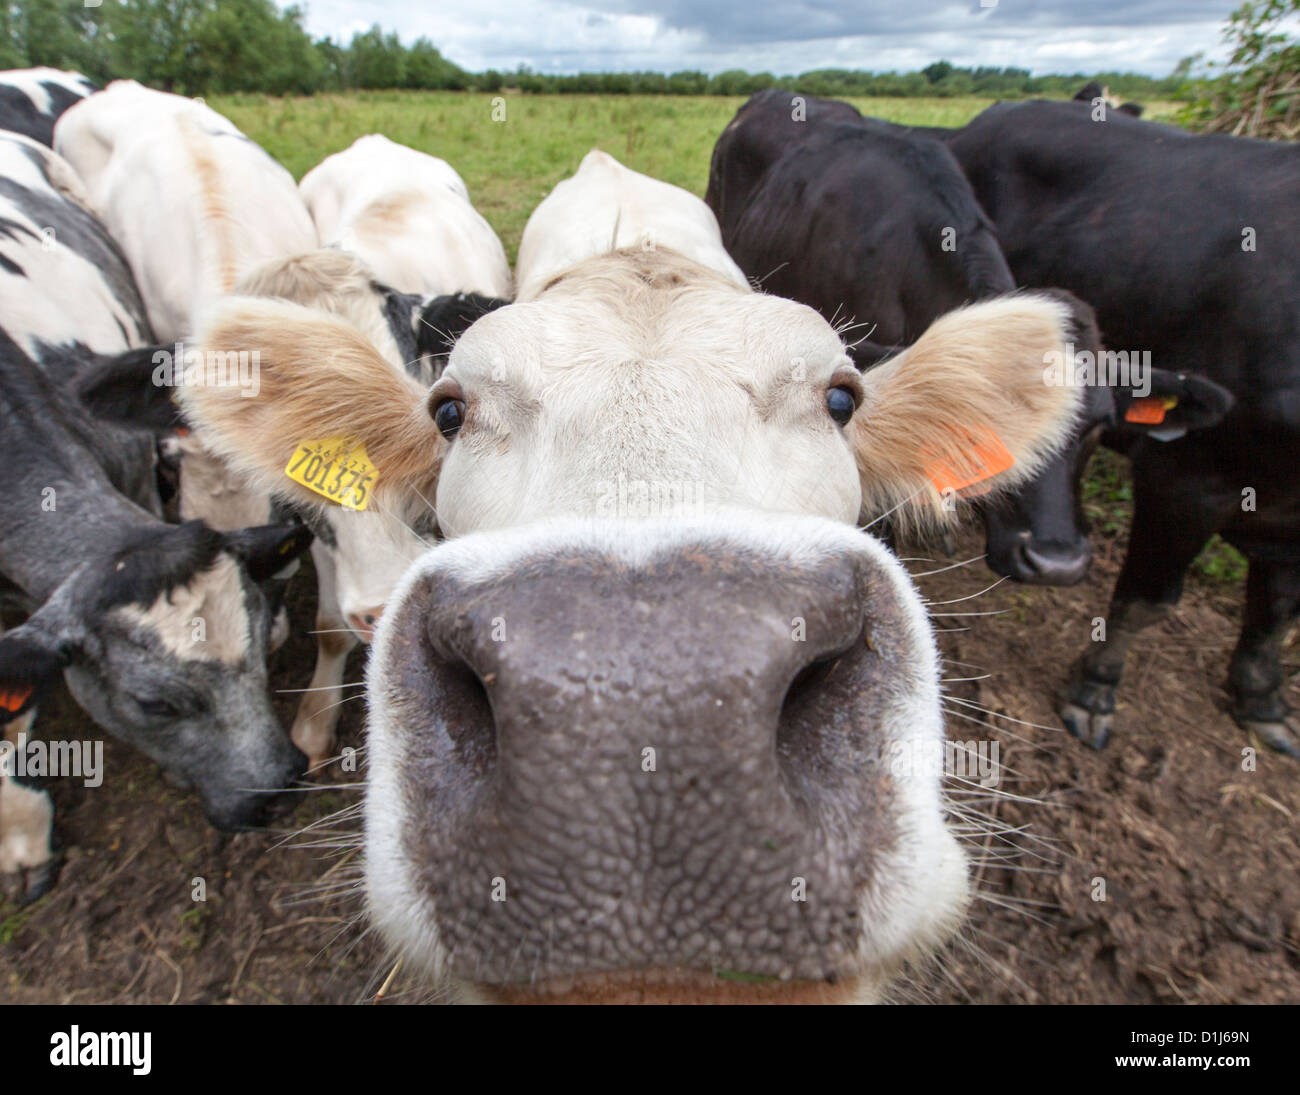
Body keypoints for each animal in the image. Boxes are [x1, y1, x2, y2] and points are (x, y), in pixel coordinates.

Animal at [944, 99, 1299, 756]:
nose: (1056, 563)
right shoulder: (1185, 478)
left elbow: (1277, 612)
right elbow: (1146, 602)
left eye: (1097, 426)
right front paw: (1093, 691)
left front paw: (1262, 699)